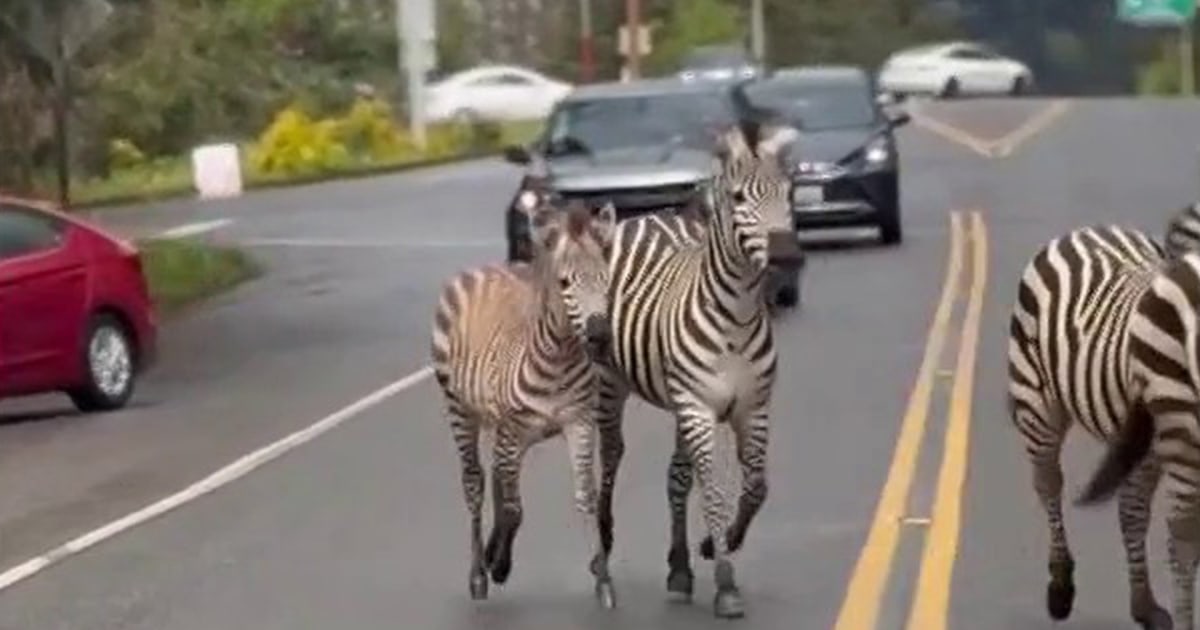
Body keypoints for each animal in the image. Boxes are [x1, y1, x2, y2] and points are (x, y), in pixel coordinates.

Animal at [429, 189, 618, 605]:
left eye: (606, 278)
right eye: (564, 282)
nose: (599, 335)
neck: (559, 360)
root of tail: (481, 268)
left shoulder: (579, 422)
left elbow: (585, 497)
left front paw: (603, 581)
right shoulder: (513, 429)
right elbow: (514, 509)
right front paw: (499, 566)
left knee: (498, 476)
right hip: (460, 410)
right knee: (475, 483)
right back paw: (479, 574)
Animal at [587, 116, 799, 619]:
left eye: (791, 191)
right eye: (739, 198)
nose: (786, 254)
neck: (737, 317)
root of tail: (646, 217)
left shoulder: (752, 408)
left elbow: (756, 486)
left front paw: (714, 546)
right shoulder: (700, 408)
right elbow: (716, 494)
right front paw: (725, 581)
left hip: (679, 401)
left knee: (677, 477)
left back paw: (680, 567)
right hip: (611, 384)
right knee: (613, 455)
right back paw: (603, 545)